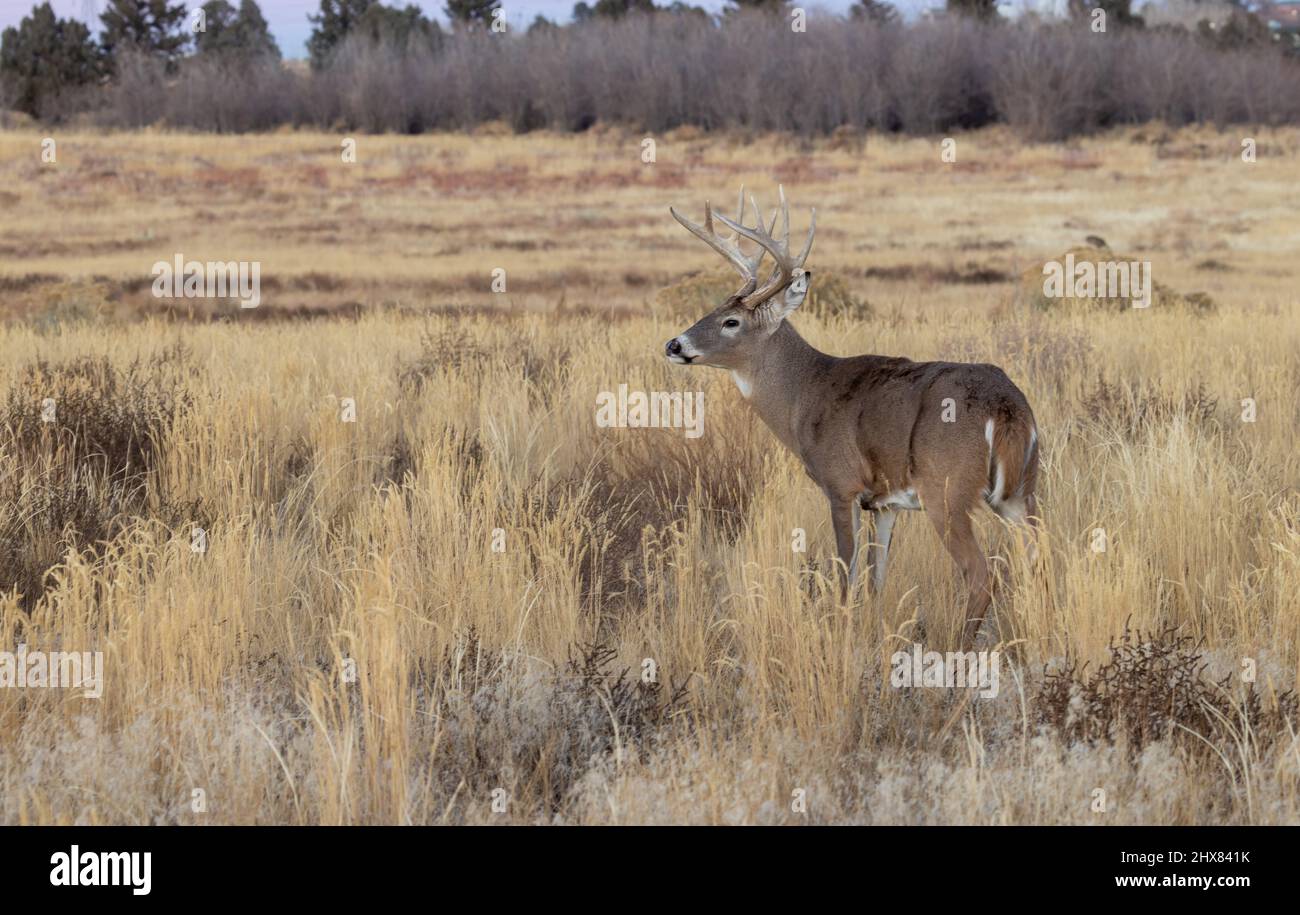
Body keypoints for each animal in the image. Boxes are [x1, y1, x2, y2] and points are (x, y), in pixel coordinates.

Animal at [664, 187, 1041, 650]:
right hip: (1021, 490)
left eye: (730, 321)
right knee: (1039, 557)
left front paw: (841, 637)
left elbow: (847, 576)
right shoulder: (885, 503)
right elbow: (877, 580)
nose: (674, 345)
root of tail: (1006, 408)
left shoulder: (840, 485)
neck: (804, 396)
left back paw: (957, 648)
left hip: (947, 491)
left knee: (980, 572)